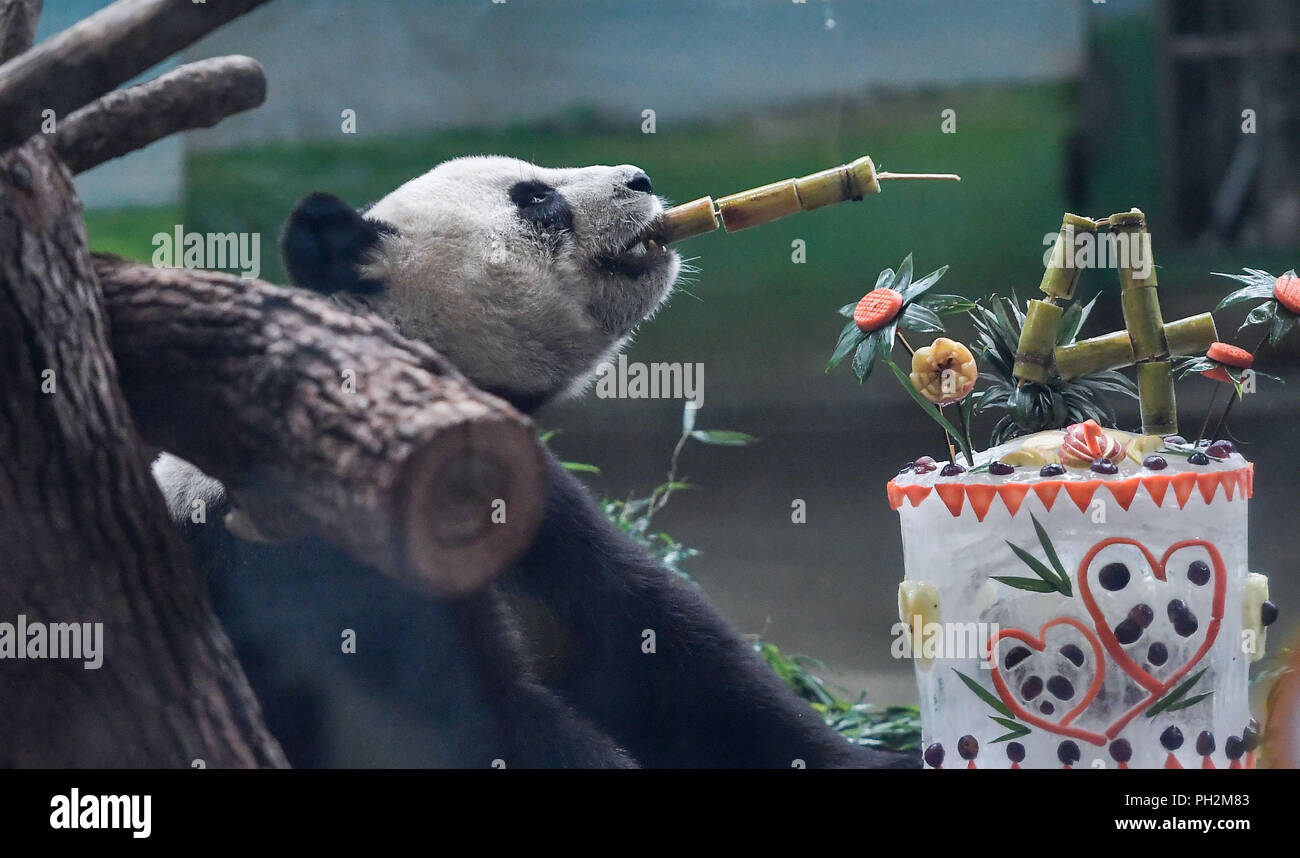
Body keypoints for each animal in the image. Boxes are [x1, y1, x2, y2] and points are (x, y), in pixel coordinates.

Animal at [156, 155, 914, 769]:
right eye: (535, 198)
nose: (640, 178)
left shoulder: (537, 503)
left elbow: (666, 653)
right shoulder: (312, 551)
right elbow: (469, 722)